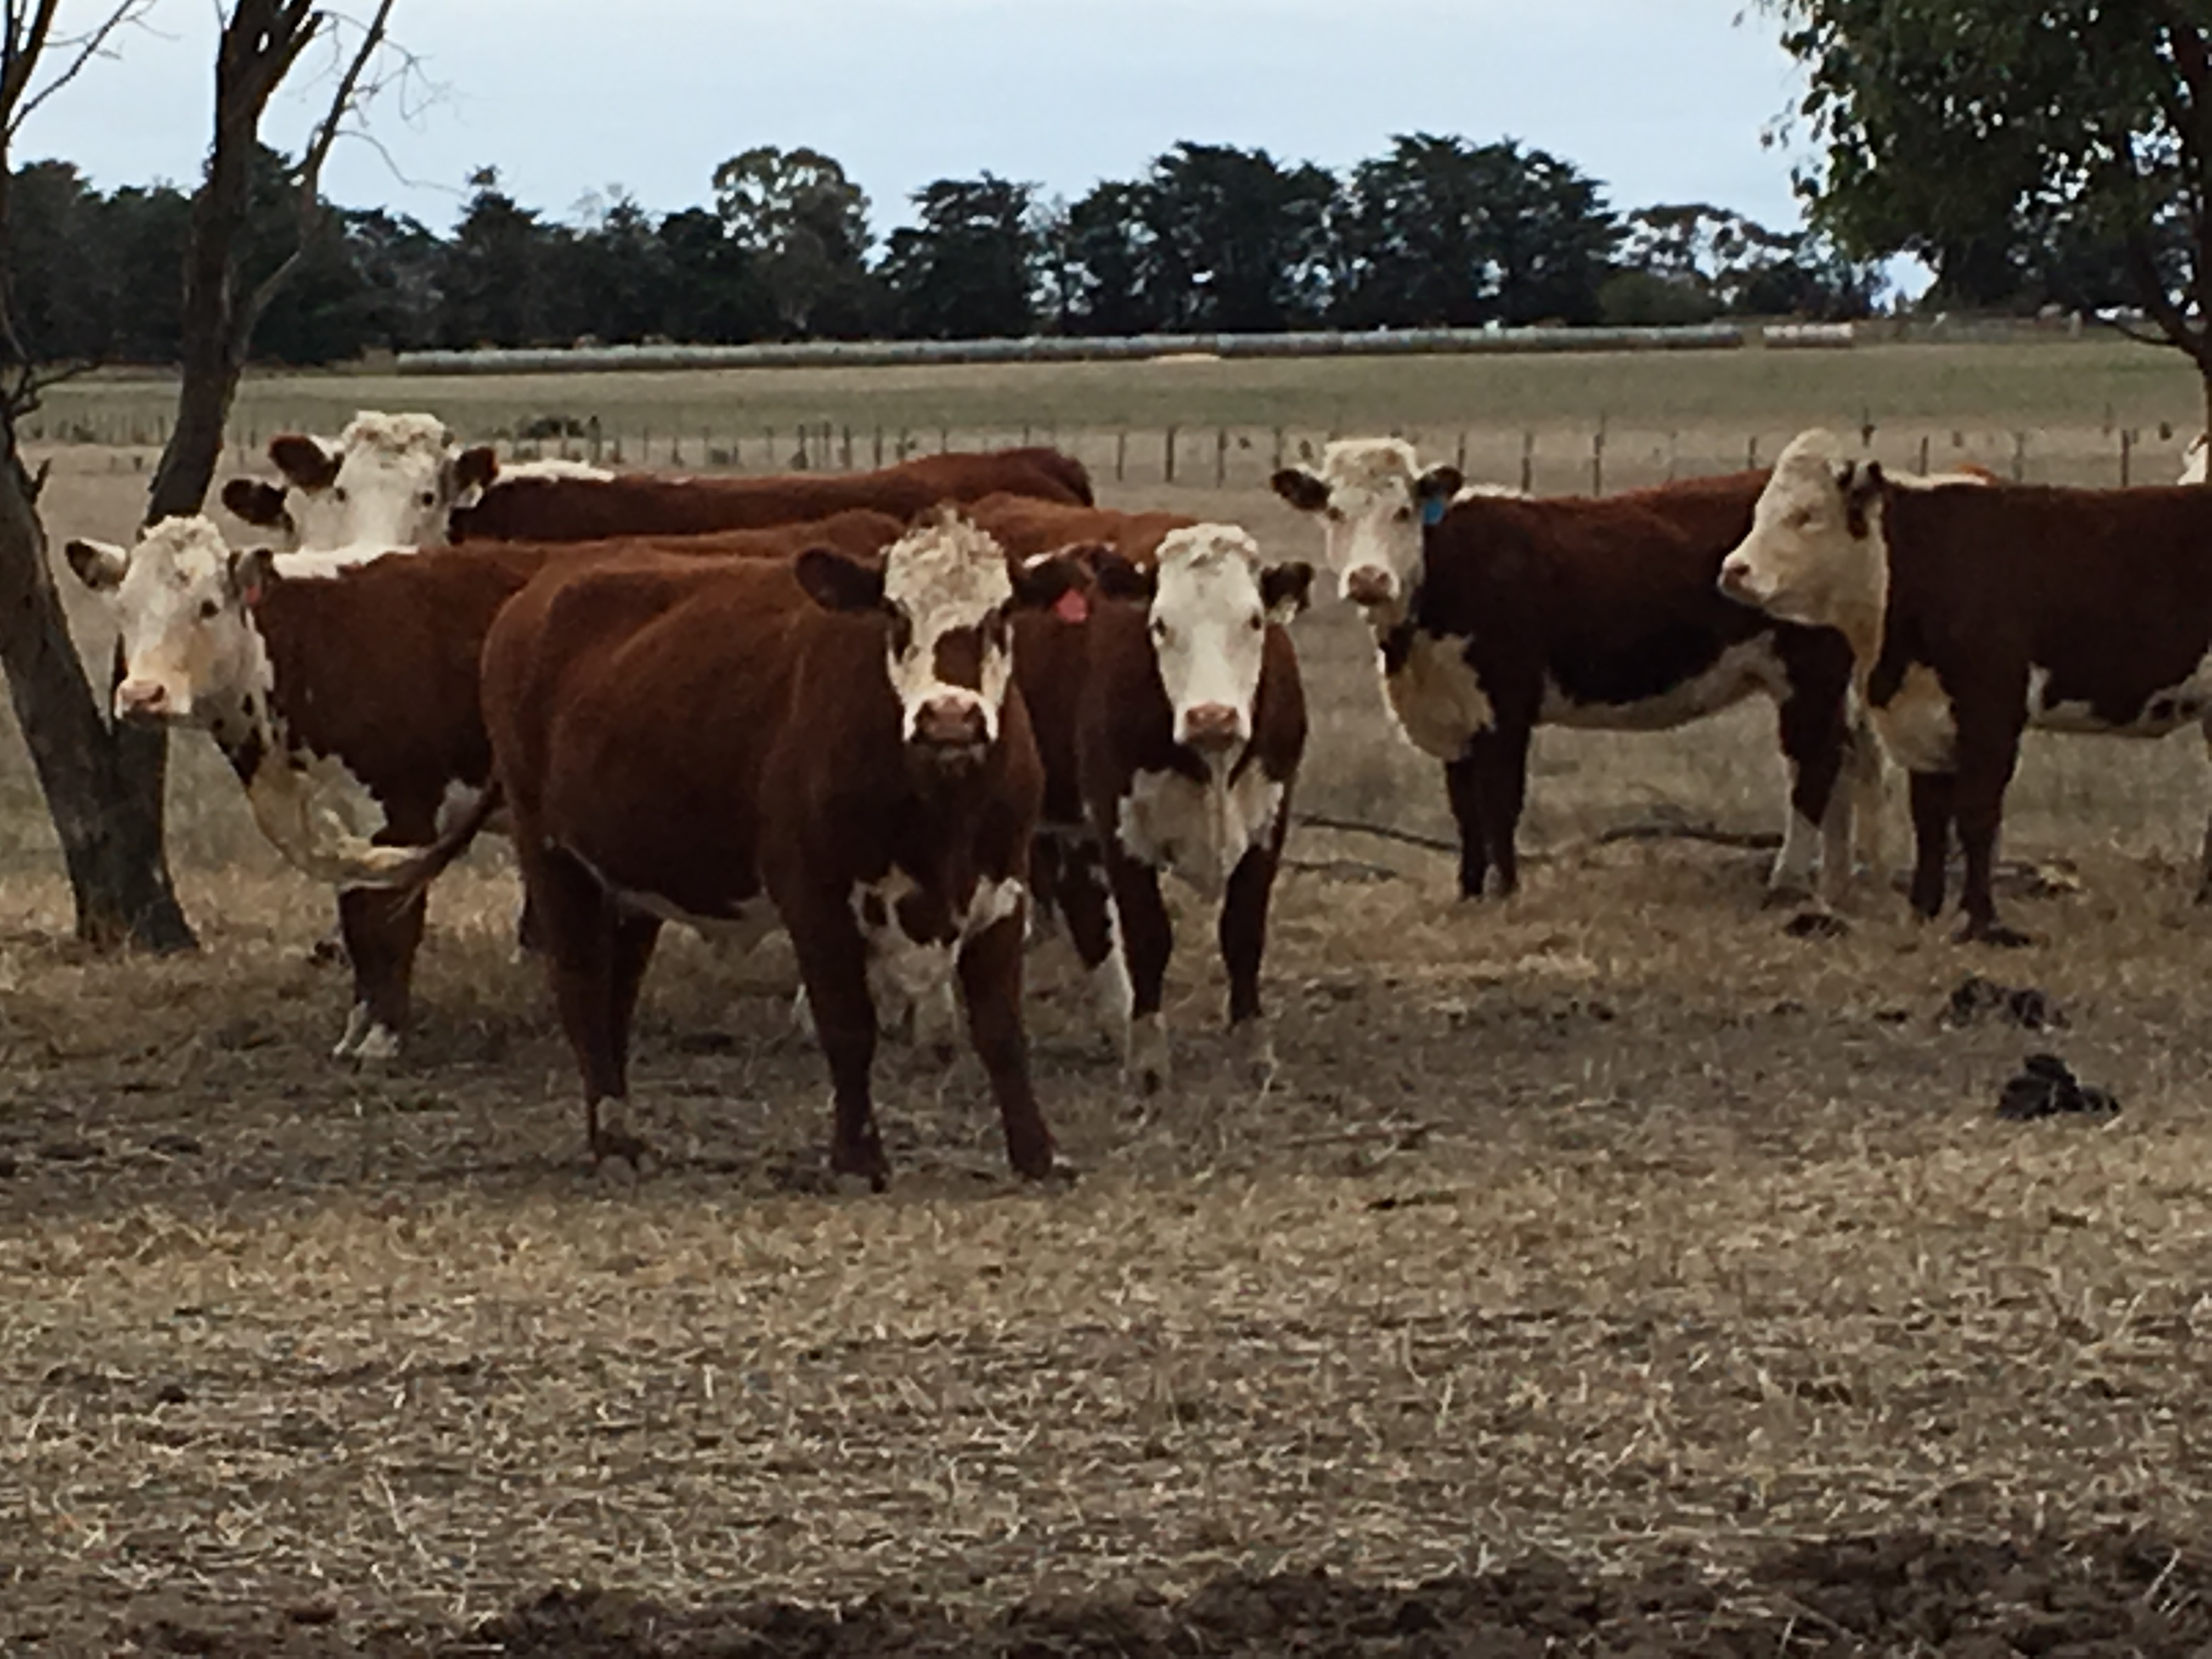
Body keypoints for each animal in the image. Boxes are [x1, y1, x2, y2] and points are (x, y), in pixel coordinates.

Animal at [64, 510, 904, 1061]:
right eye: (126, 608)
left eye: (207, 605)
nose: (141, 696)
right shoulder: (342, 817)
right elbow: (356, 922)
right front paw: (358, 1028)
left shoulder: (401, 808)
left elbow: (389, 924)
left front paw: (383, 1039)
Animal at [465, 509, 1086, 1179]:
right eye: (895, 613)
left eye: (1001, 614)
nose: (950, 719)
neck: (939, 811)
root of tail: (535, 595)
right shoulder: (814, 897)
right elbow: (848, 1027)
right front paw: (857, 1155)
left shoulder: (1002, 889)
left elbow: (1001, 1030)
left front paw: (1037, 1152)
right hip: (552, 853)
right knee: (581, 985)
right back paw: (612, 1135)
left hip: (628, 879)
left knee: (617, 993)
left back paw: (622, 1127)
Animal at [1272, 438, 1873, 905]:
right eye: (1334, 513)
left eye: (1403, 512)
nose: (1368, 579)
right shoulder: (1454, 713)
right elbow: (1465, 809)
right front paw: (1469, 891)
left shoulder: (1507, 705)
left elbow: (1500, 803)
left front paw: (1505, 891)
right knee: (1845, 761)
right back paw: (1837, 881)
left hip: (1809, 674)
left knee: (1814, 769)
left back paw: (1788, 880)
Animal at [1718, 427, 2212, 943]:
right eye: (1760, 510)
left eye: (1807, 515)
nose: (1734, 570)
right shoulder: (1922, 722)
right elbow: (1931, 821)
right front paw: (1923, 910)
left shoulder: (1991, 715)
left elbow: (1976, 817)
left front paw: (1981, 920)